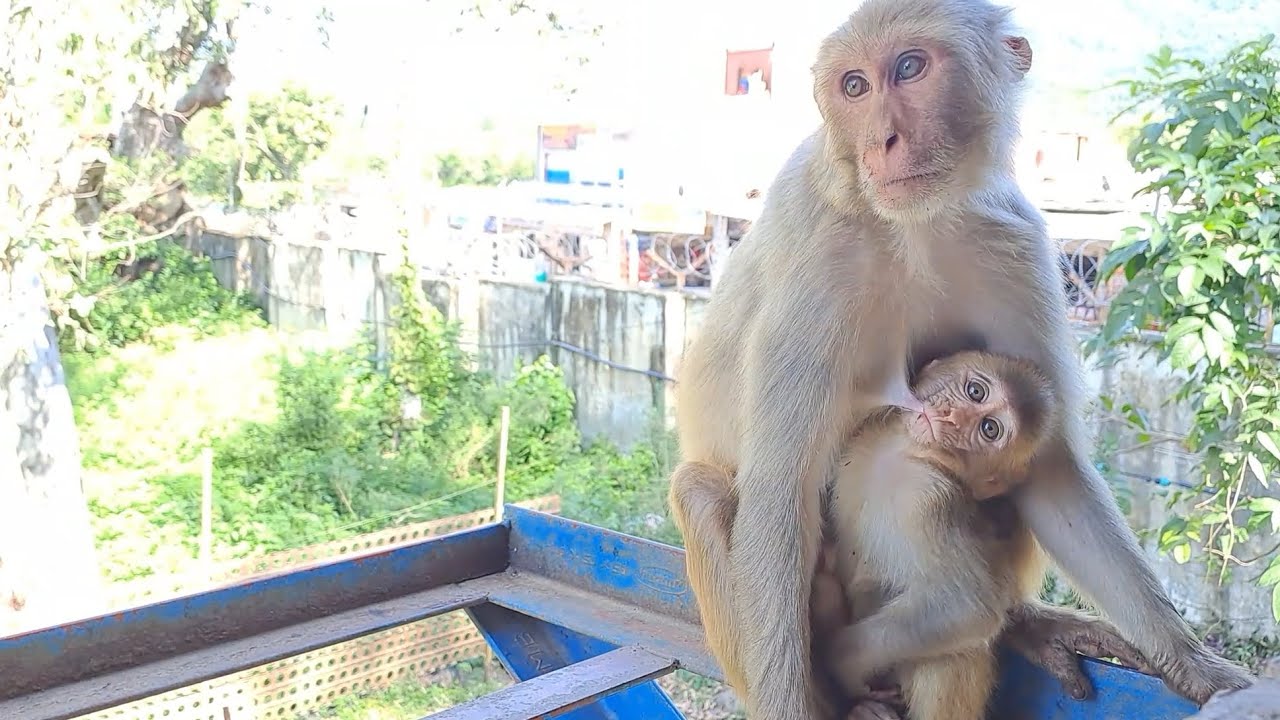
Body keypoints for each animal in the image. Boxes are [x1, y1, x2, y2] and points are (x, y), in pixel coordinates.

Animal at [825, 350, 1059, 720]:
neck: (897, 453)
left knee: (949, 652)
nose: (952, 416)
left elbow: (968, 605)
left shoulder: (928, 500)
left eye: (989, 429)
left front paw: (842, 664)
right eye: (976, 391)